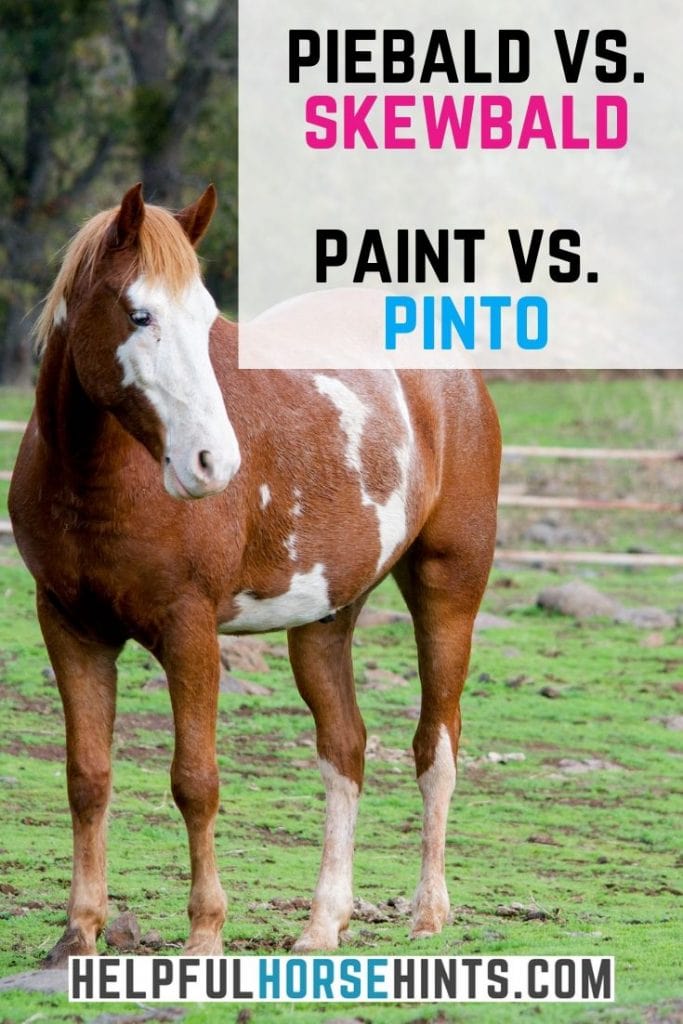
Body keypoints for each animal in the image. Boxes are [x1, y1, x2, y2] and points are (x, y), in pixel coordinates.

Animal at [9, 184, 501, 967]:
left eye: (206, 317)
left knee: (436, 746)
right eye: (139, 314)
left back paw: (428, 913)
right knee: (344, 749)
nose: (214, 461)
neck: (98, 479)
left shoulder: (188, 631)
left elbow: (195, 782)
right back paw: (323, 924)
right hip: (326, 617)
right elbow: (87, 779)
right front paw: (78, 933)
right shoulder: (69, 628)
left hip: (448, 591)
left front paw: (205, 936)